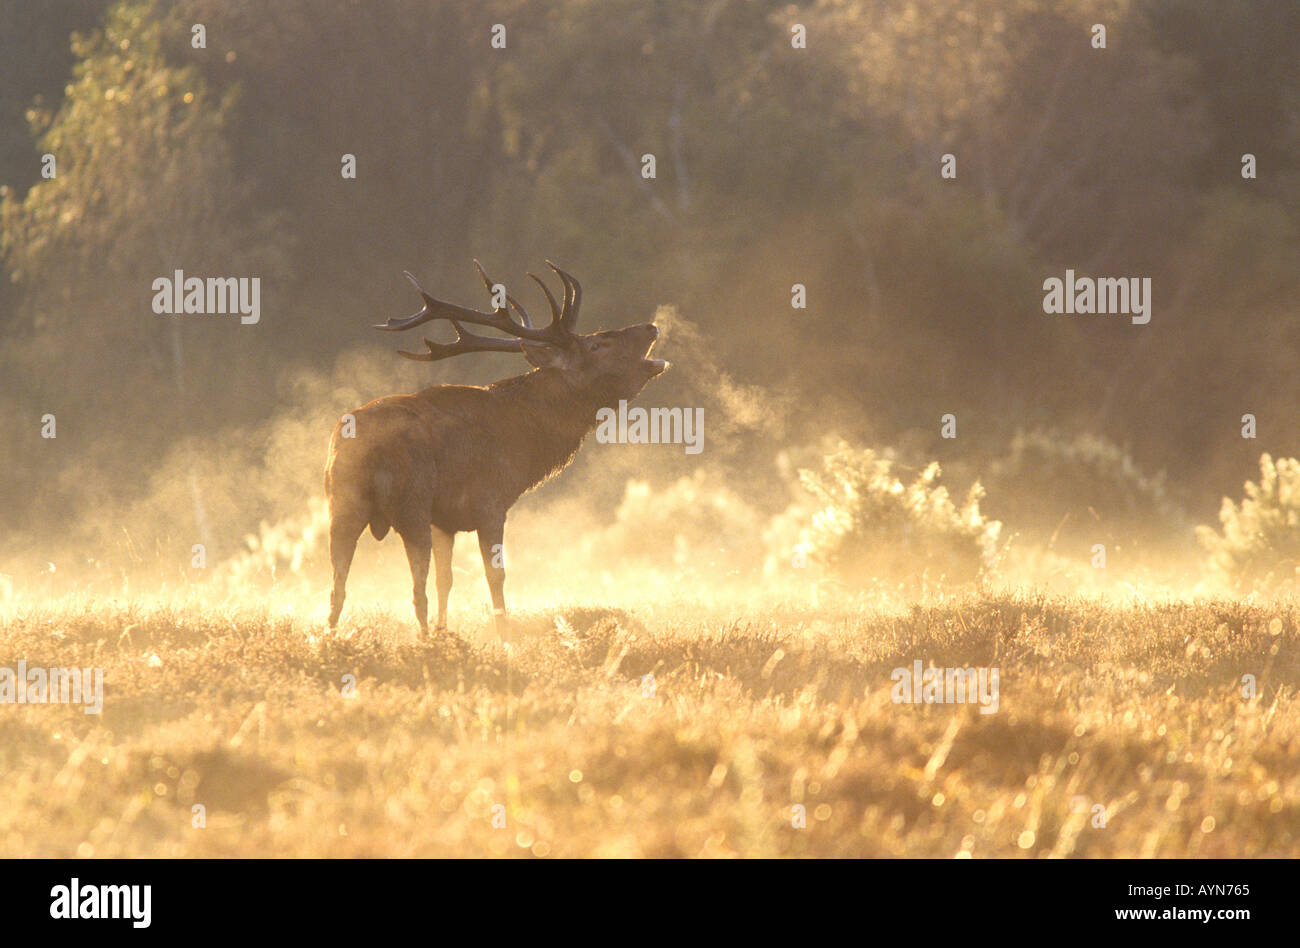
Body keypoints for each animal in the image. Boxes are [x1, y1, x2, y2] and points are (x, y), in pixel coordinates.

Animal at [324, 260, 667, 641]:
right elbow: (494, 577)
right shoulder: (488, 501)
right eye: (597, 343)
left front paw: (448, 634)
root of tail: (356, 443)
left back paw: (330, 639)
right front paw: (505, 641)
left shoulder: (444, 520)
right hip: (411, 502)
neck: (523, 443)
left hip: (342, 504)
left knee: (337, 587)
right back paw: (422, 642)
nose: (651, 326)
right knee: (415, 590)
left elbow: (447, 580)